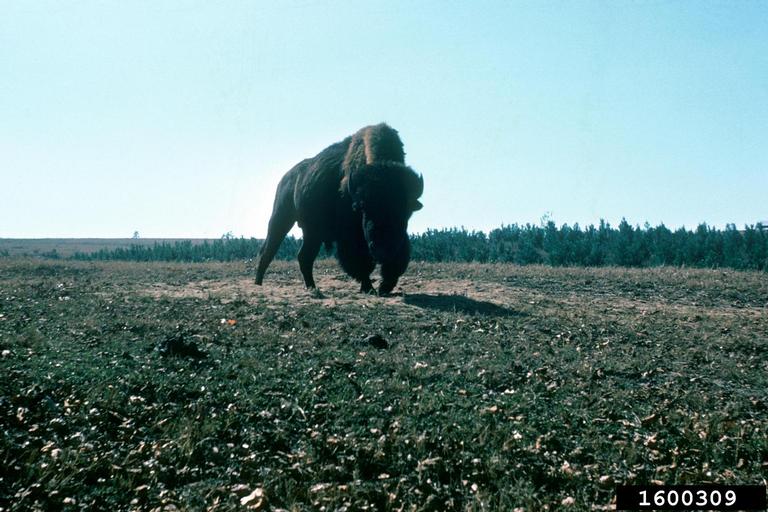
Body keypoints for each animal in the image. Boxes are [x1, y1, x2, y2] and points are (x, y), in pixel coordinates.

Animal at [255, 123, 424, 295]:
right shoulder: (350, 237)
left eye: (405, 210)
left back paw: (312, 287)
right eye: (362, 207)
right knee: (268, 251)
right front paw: (369, 288)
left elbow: (399, 260)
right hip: (281, 218)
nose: (382, 250)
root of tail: (286, 177)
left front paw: (384, 287)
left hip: (312, 232)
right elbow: (360, 262)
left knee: (304, 257)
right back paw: (258, 284)